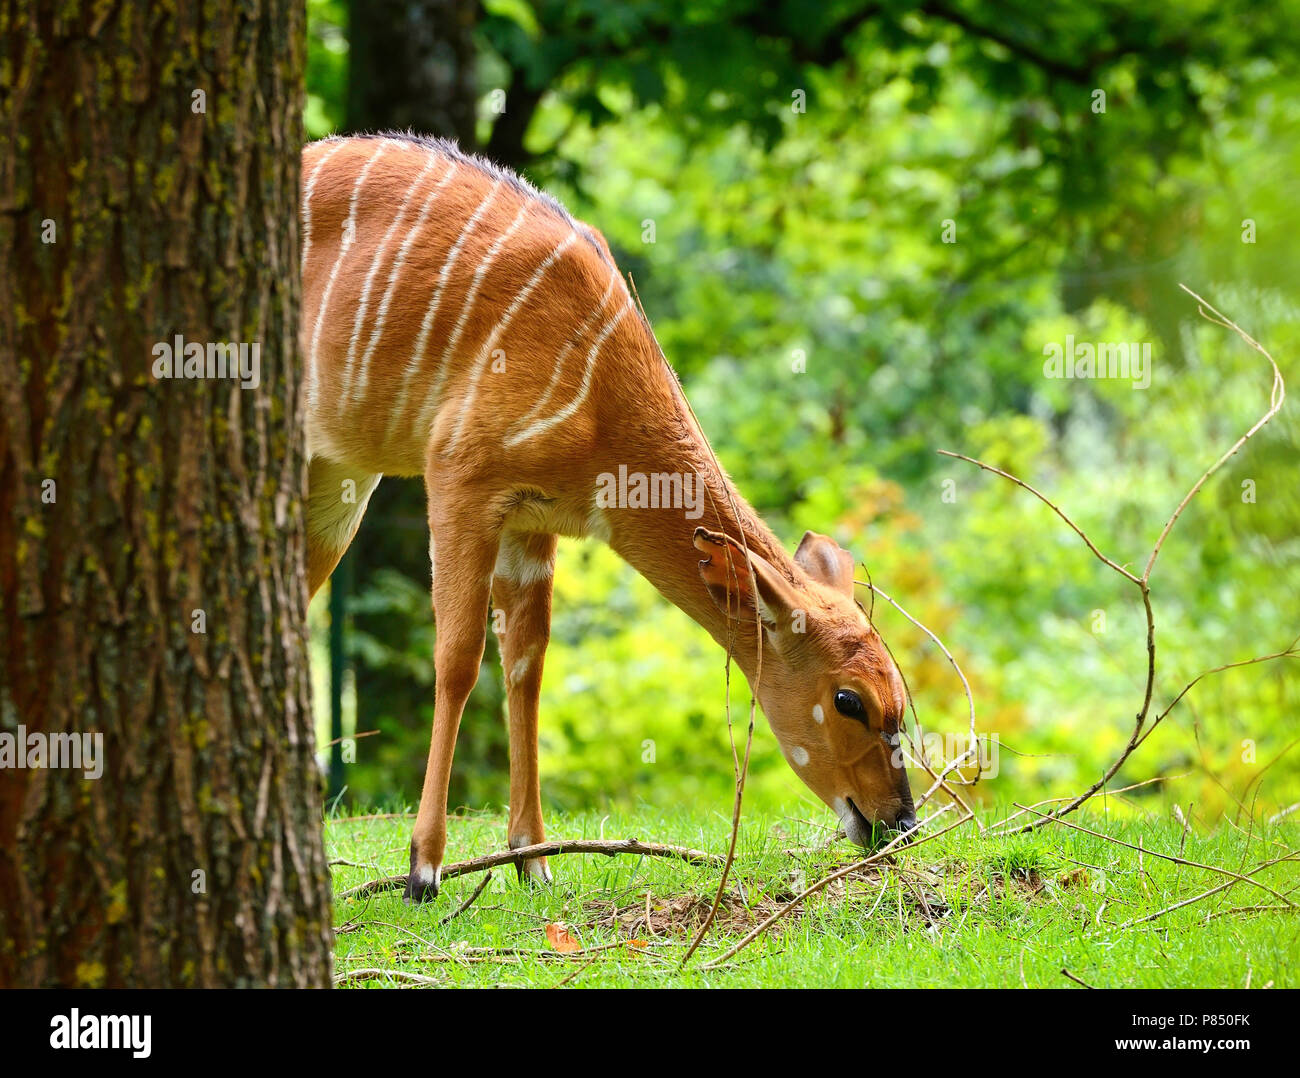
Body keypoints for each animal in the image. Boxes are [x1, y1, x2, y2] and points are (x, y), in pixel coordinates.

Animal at [300, 133, 916, 901]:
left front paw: (532, 861)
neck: (599, 402)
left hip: (339, 474)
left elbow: (527, 664)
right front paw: (423, 868)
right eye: (849, 700)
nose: (899, 822)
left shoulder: (529, 522)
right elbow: (457, 659)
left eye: (900, 697)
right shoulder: (458, 479)